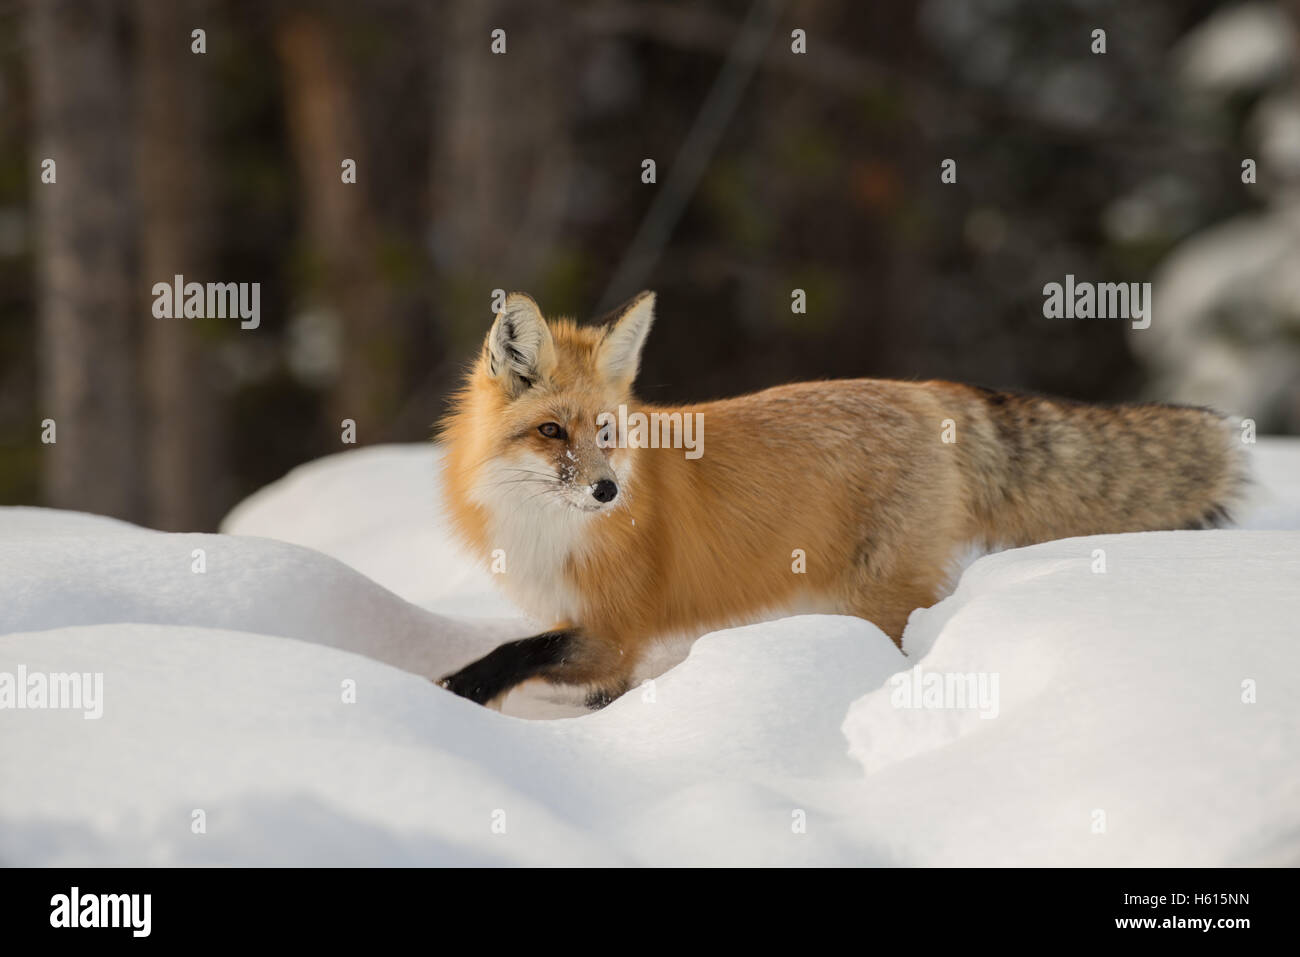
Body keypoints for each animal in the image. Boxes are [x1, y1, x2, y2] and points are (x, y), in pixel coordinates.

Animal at [437, 291, 1249, 708]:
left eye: (606, 431)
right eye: (551, 431)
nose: (607, 489)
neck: (548, 531)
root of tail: (922, 390)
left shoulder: (614, 633)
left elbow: (519, 650)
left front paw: (455, 689)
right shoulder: (606, 644)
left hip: (879, 596)